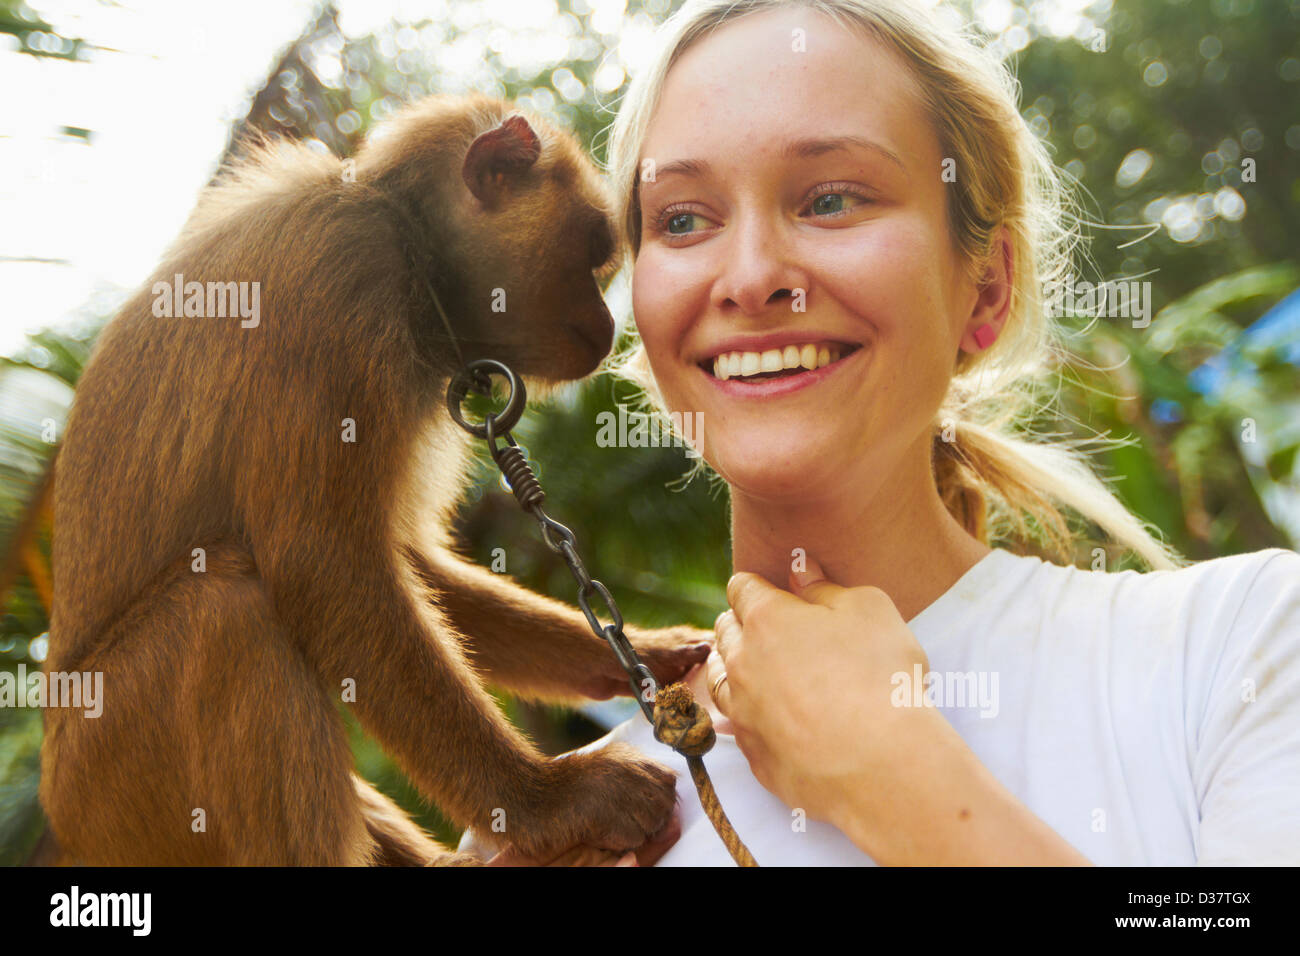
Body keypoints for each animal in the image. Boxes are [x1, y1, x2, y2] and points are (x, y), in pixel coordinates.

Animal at [38, 93, 713, 866]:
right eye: (594, 254)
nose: (607, 329)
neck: (398, 223)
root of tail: (63, 819)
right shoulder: (344, 273)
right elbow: (327, 566)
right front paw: (552, 804)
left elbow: (407, 563)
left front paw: (645, 653)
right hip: (113, 783)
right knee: (225, 610)